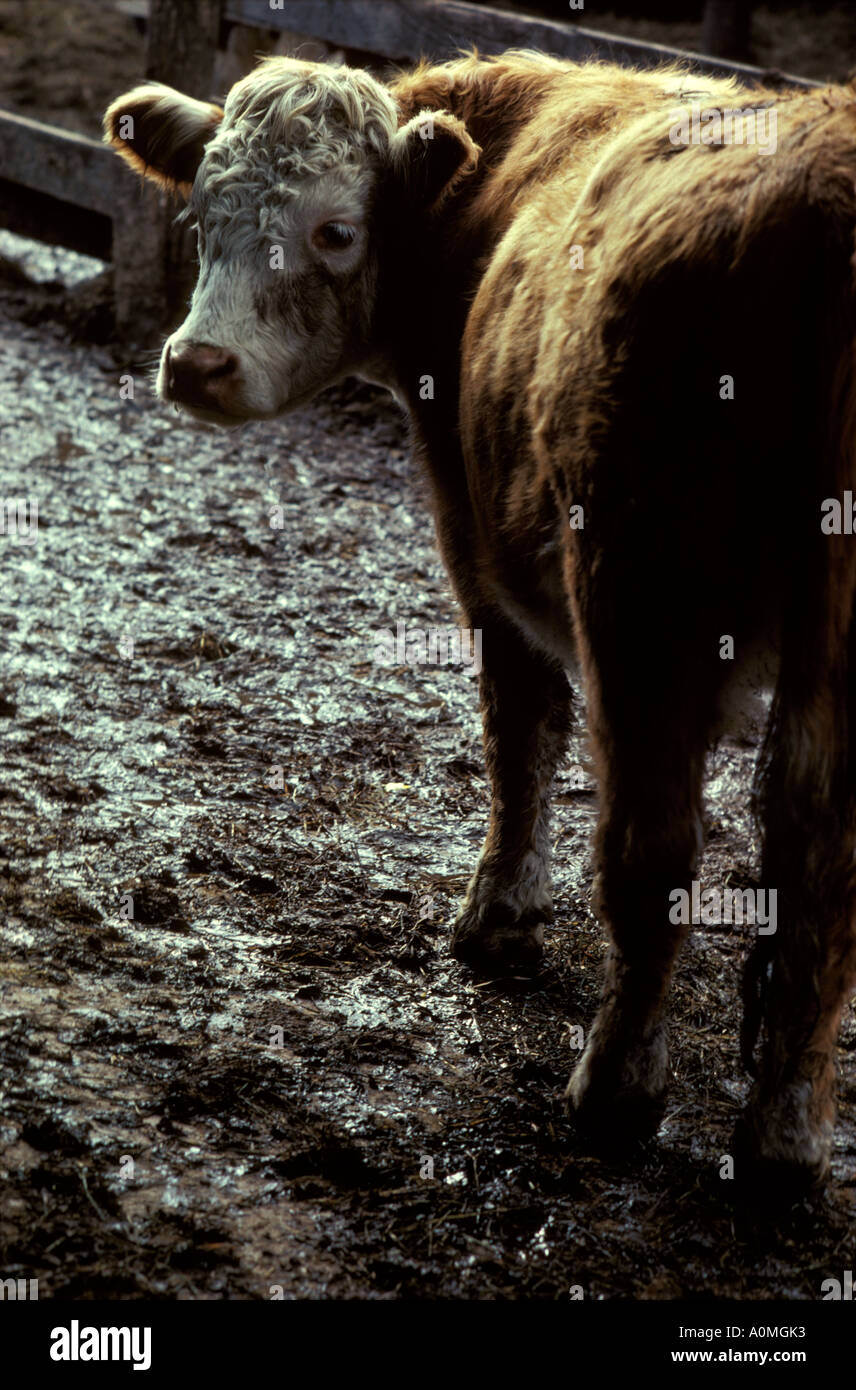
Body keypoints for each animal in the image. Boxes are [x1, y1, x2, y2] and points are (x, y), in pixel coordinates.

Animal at [105, 51, 856, 1196]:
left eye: (336, 230)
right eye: (198, 215)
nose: (197, 365)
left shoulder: (475, 535)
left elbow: (519, 728)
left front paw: (500, 913)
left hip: (641, 594)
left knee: (652, 846)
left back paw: (615, 1088)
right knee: (823, 861)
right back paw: (784, 1136)